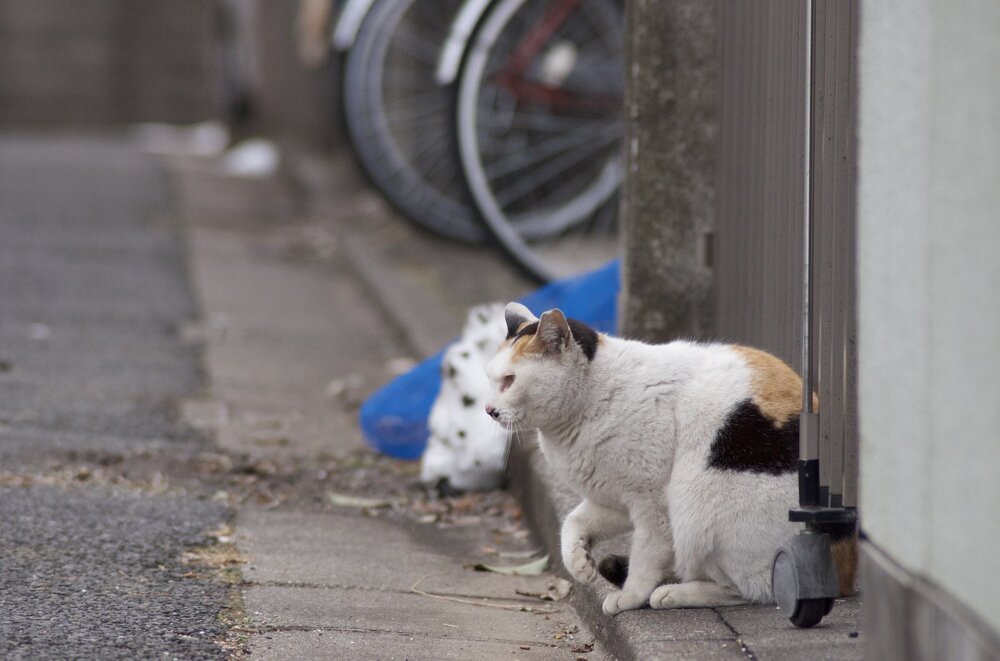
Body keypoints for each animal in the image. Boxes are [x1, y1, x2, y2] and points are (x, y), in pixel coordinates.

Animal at [482, 302, 852, 612]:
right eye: (491, 379)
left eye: (509, 381)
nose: (488, 410)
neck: (593, 396)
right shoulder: (612, 498)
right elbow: (572, 522)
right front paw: (579, 563)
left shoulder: (653, 502)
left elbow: (647, 553)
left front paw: (631, 596)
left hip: (695, 500)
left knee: (753, 589)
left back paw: (673, 593)